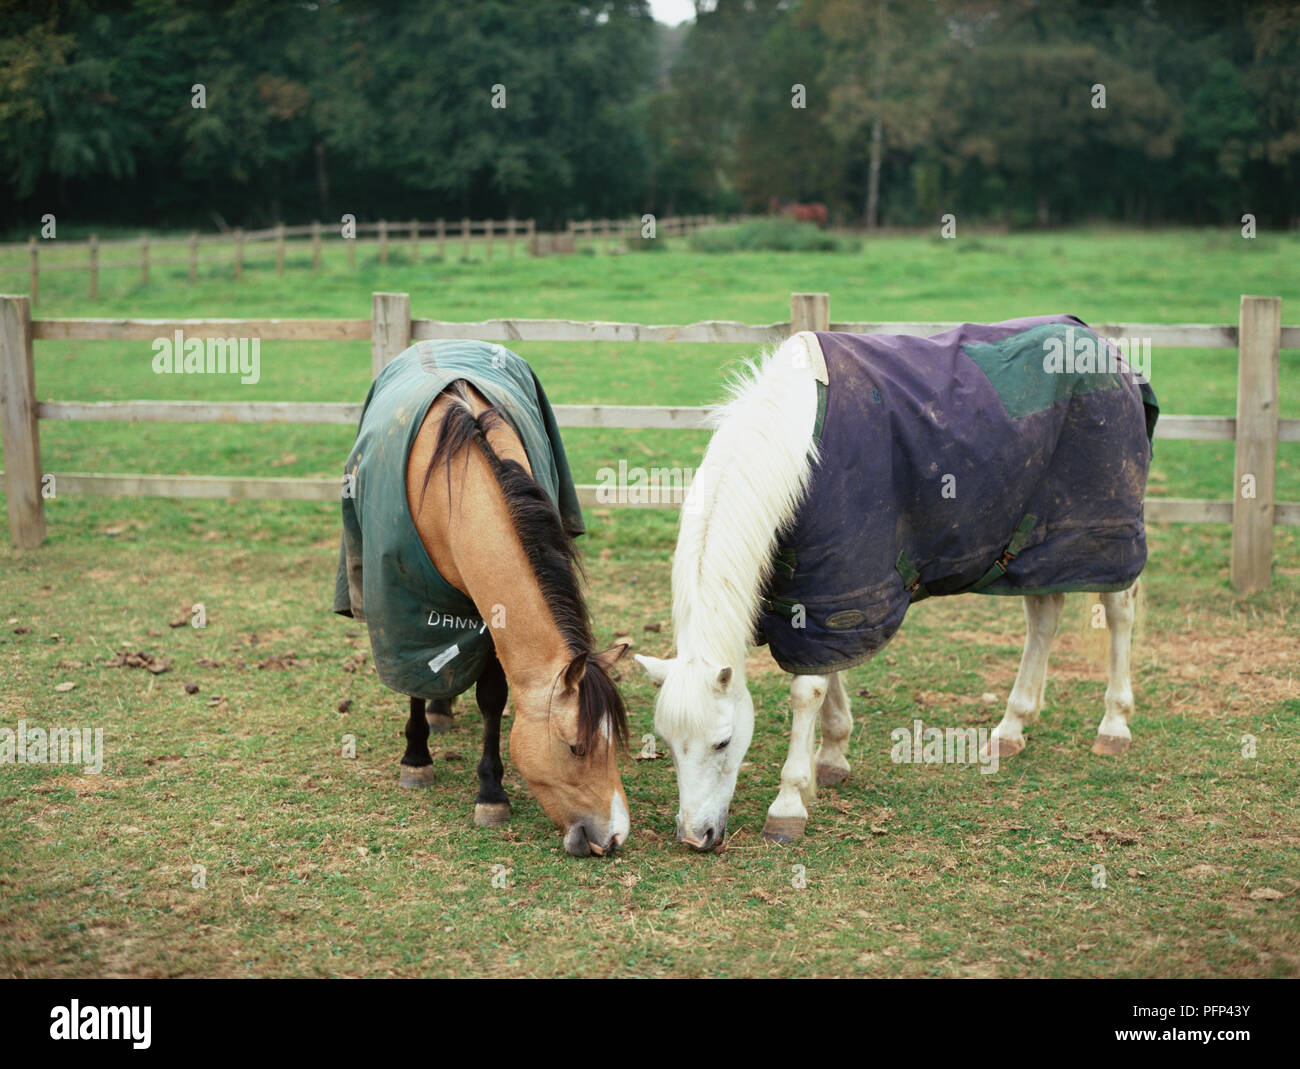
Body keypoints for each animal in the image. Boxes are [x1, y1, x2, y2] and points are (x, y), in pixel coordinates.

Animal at [335, 340, 631, 856]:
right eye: (576, 747)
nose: (614, 836)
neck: (456, 491)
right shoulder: (403, 602)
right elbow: (414, 674)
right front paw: (417, 759)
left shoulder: (490, 614)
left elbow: (492, 697)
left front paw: (491, 792)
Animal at [636, 317, 1158, 849]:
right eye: (667, 744)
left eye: (723, 742)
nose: (695, 835)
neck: (797, 444)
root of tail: (1103, 346)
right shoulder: (824, 600)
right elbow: (830, 670)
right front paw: (831, 756)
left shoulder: (839, 583)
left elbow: (808, 690)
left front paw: (789, 802)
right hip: (1037, 546)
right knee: (1044, 617)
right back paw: (1012, 727)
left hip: (1107, 530)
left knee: (1120, 610)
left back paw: (1114, 725)